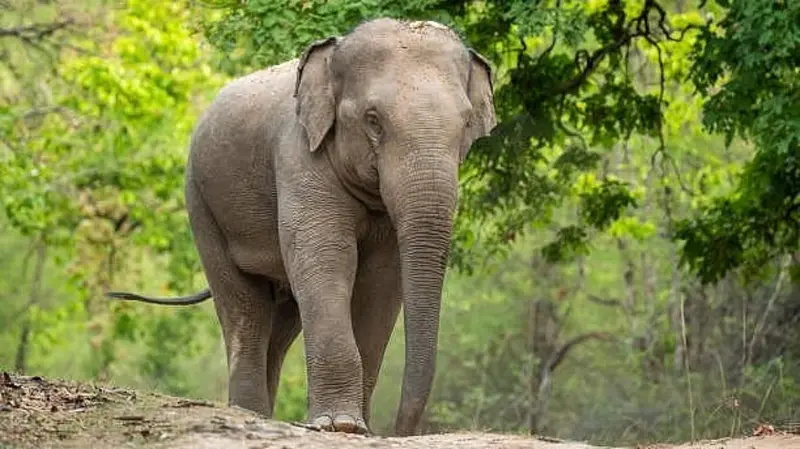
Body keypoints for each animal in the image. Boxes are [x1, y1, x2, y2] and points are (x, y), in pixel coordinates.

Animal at [106, 17, 496, 436]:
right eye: (373, 120)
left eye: (466, 123)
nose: (397, 431)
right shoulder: (298, 157)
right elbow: (326, 257)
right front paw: (341, 426)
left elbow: (381, 280)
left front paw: (357, 428)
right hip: (201, 205)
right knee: (245, 308)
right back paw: (250, 413)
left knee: (281, 321)